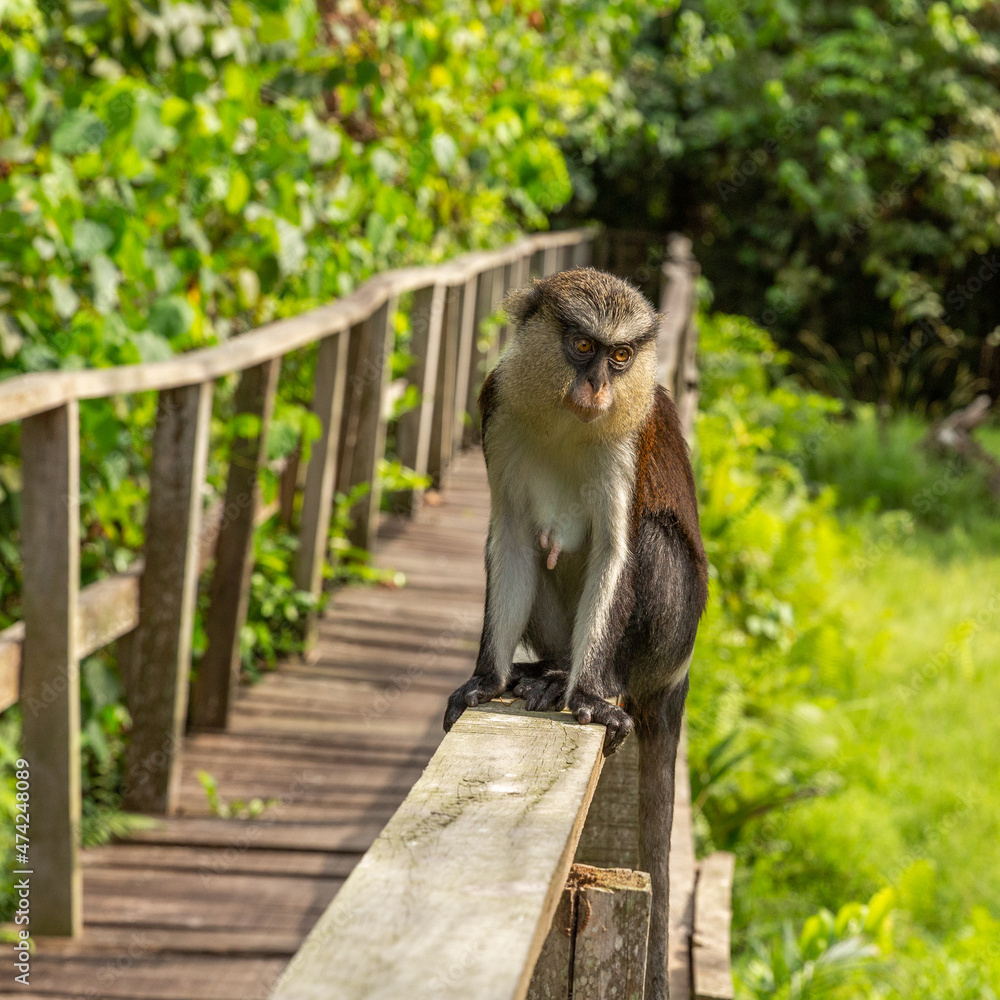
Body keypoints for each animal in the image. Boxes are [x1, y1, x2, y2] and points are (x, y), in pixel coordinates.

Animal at [442, 267, 708, 1000]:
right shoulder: (498, 407)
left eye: (620, 356)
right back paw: (543, 671)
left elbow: (620, 547)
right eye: (582, 345)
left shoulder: (630, 437)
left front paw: (588, 698)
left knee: (652, 537)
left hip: (669, 638)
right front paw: (486, 680)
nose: (598, 388)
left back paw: (584, 679)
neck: (565, 416)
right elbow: (510, 536)